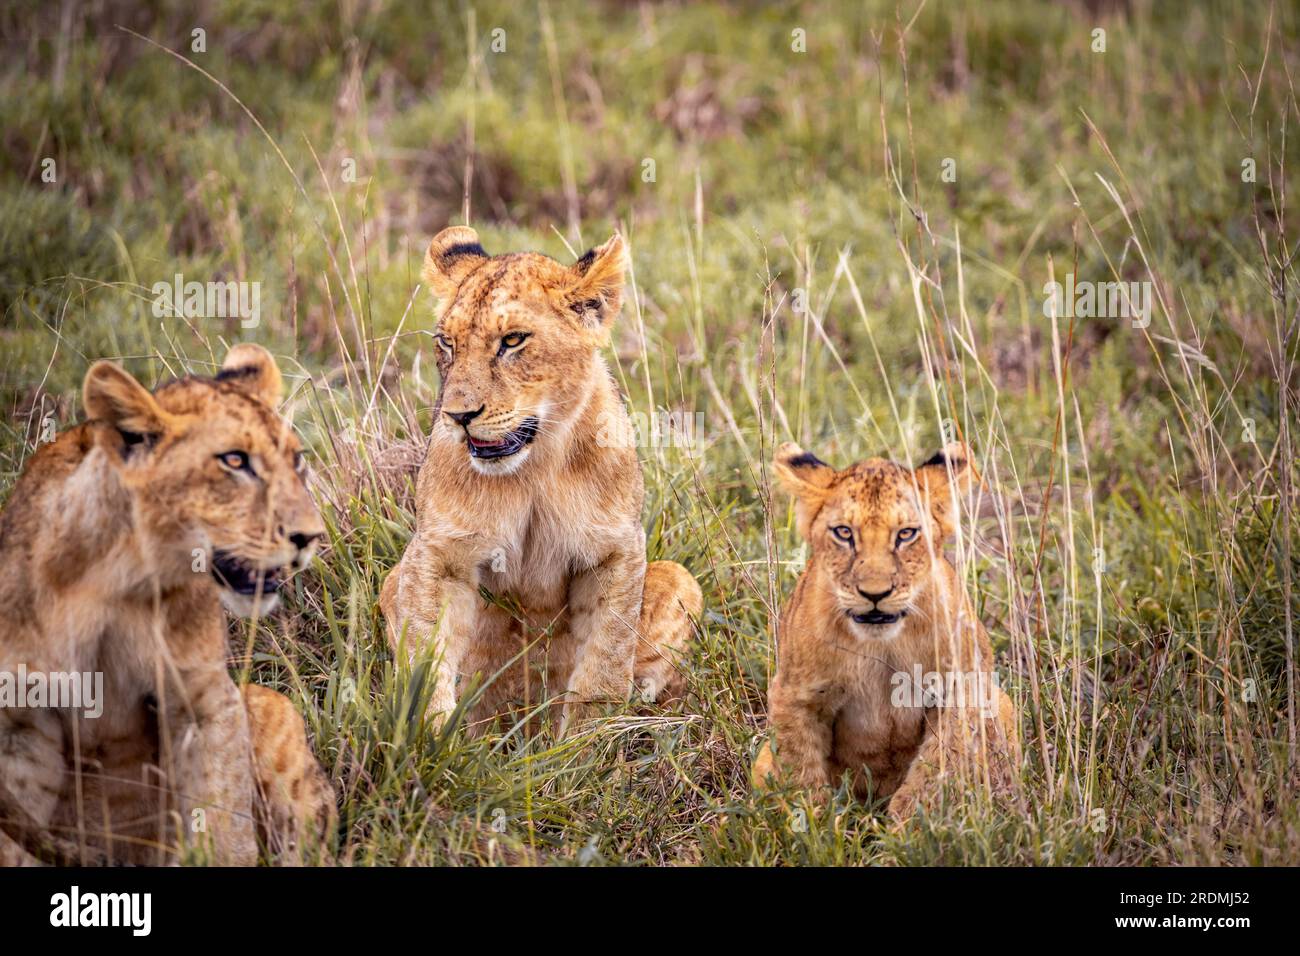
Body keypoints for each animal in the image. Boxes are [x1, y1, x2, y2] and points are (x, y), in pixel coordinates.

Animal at [0, 344, 336, 866]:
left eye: (296, 460)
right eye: (234, 460)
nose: (310, 536)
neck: (115, 581)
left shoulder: (206, 701)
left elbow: (223, 828)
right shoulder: (21, 723)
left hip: (268, 707)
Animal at [380, 226, 703, 736]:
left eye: (513, 340)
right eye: (447, 343)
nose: (457, 416)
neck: (533, 467)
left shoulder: (615, 551)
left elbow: (605, 664)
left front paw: (586, 745)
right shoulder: (438, 553)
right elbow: (425, 655)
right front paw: (430, 737)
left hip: (680, 578)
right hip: (393, 578)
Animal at [752, 441, 1019, 821]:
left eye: (906, 534)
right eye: (844, 532)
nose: (875, 594)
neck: (882, 646)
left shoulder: (962, 689)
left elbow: (933, 772)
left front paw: (907, 830)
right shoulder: (796, 695)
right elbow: (801, 773)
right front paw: (816, 827)